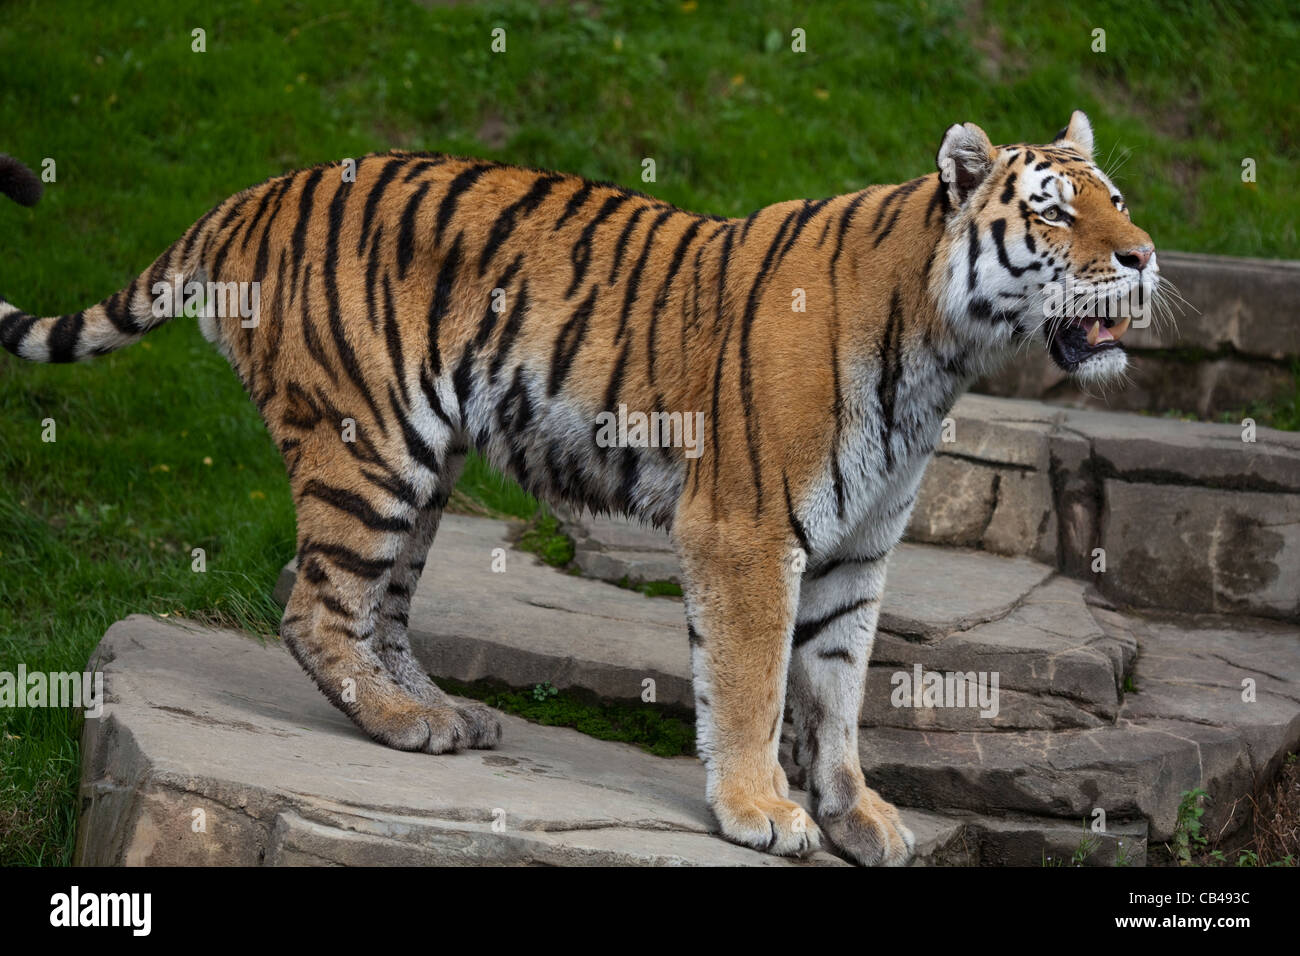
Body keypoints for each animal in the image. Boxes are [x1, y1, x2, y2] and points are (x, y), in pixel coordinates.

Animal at [0, 110, 1159, 865]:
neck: (943, 353)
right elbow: (750, 685)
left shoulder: (859, 549)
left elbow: (835, 692)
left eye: (1117, 202)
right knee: (314, 605)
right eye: (1056, 216)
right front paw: (760, 809)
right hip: (368, 446)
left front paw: (855, 817)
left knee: (381, 609)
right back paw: (401, 723)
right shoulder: (745, 530)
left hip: (425, 466)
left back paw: (445, 714)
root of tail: (258, 190)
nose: (1146, 258)